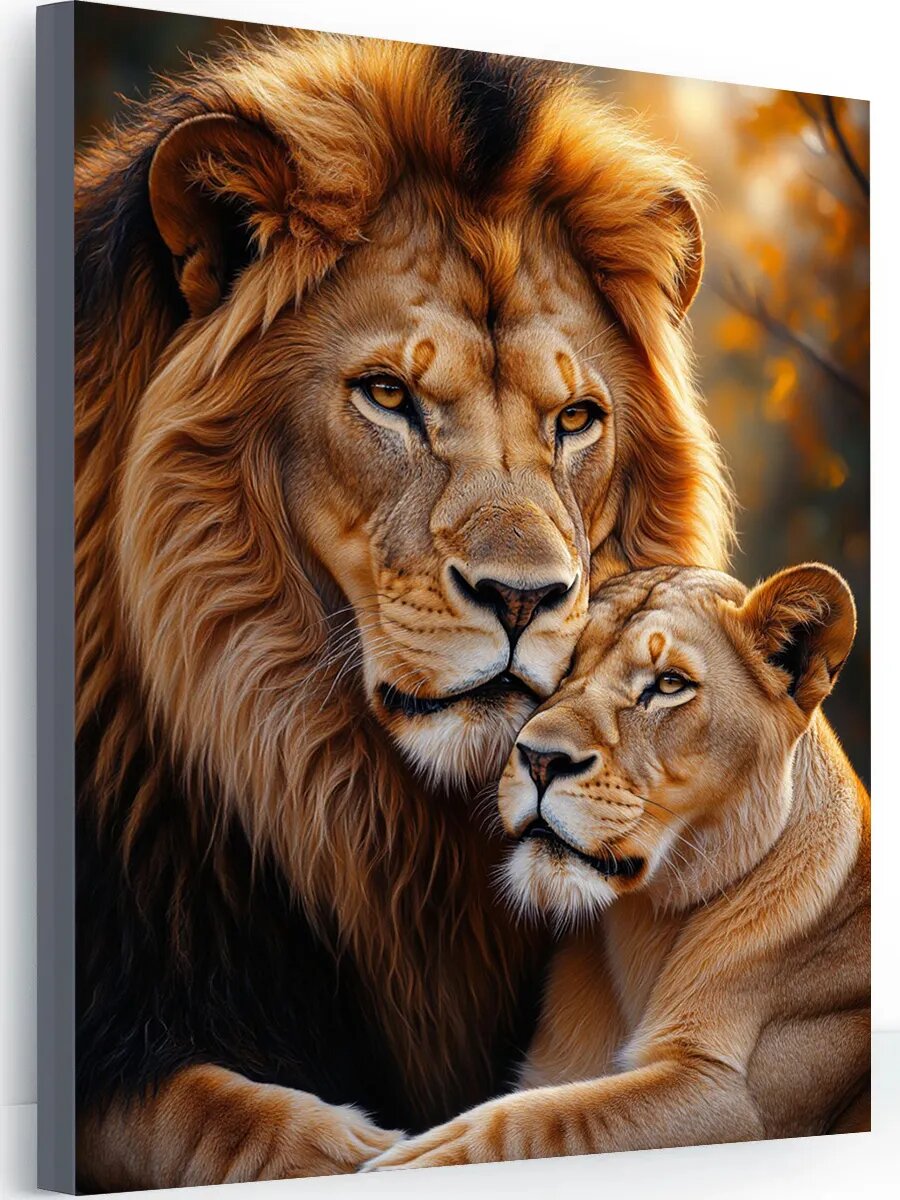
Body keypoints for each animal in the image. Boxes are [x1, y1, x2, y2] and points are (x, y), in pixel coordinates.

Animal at [369, 564, 869, 1170]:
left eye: (670, 684)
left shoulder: (733, 1099)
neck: (646, 926)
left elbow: (550, 1118)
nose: (540, 759)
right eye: (561, 666)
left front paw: (409, 1160)